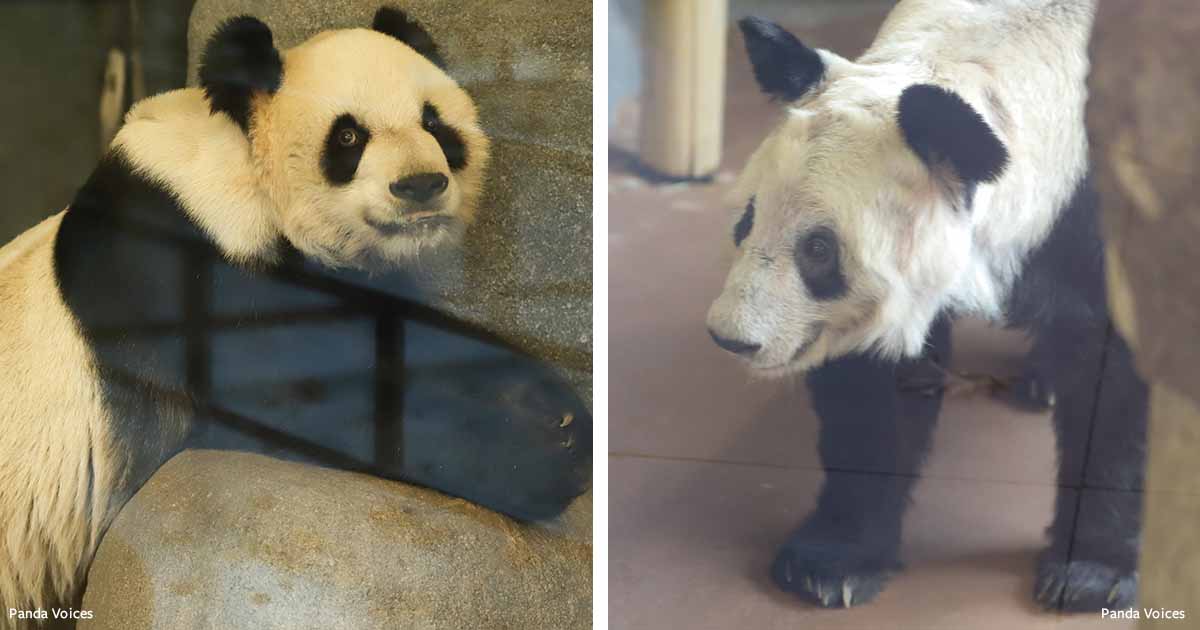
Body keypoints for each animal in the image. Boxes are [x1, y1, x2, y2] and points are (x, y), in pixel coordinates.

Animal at [0, 7, 590, 617]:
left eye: (434, 123)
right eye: (349, 135)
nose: (420, 185)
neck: (241, 172)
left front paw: (551, 408)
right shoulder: (181, 276)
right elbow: (329, 396)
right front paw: (540, 452)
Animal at [706, 0, 1145, 612]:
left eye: (818, 249)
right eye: (746, 221)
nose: (732, 337)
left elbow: (1114, 377)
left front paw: (1089, 573)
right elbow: (873, 389)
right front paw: (832, 561)